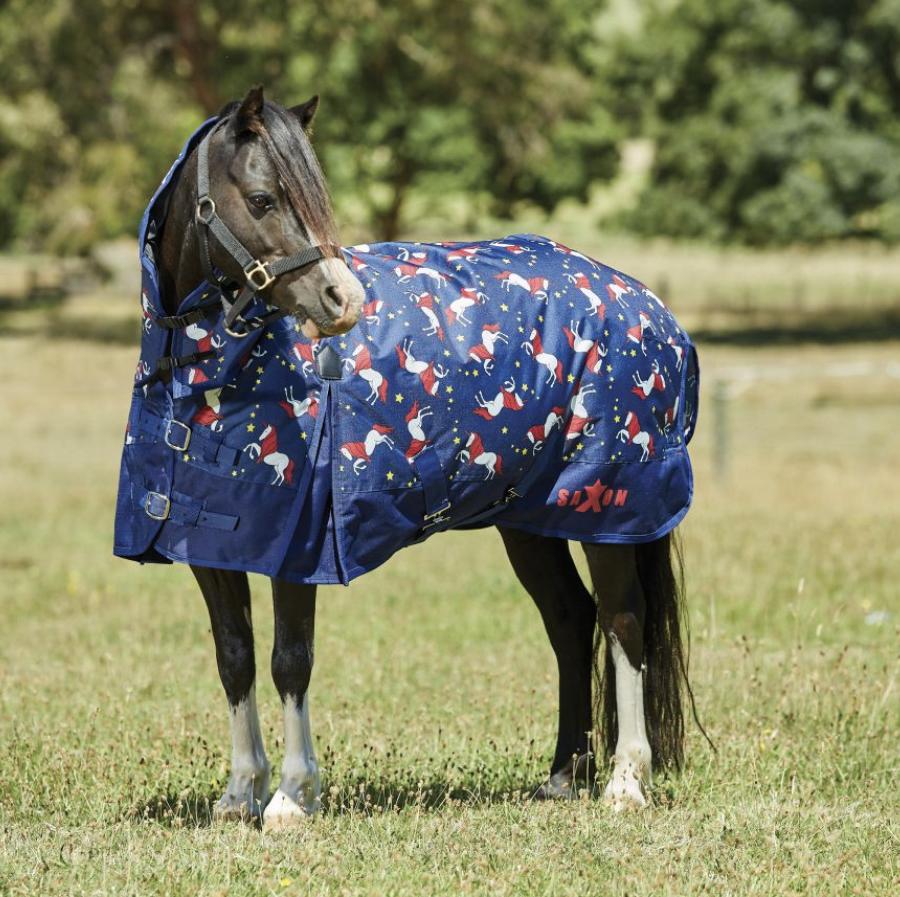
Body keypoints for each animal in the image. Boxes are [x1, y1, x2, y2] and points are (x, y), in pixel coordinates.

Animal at [114, 86, 703, 830]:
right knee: (571, 620)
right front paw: (237, 793)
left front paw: (291, 796)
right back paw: (563, 775)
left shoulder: (298, 547)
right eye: (262, 198)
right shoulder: (213, 544)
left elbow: (289, 659)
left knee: (625, 622)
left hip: (609, 511)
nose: (340, 300)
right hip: (531, 520)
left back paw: (625, 781)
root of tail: (647, 305)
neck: (212, 375)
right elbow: (235, 658)